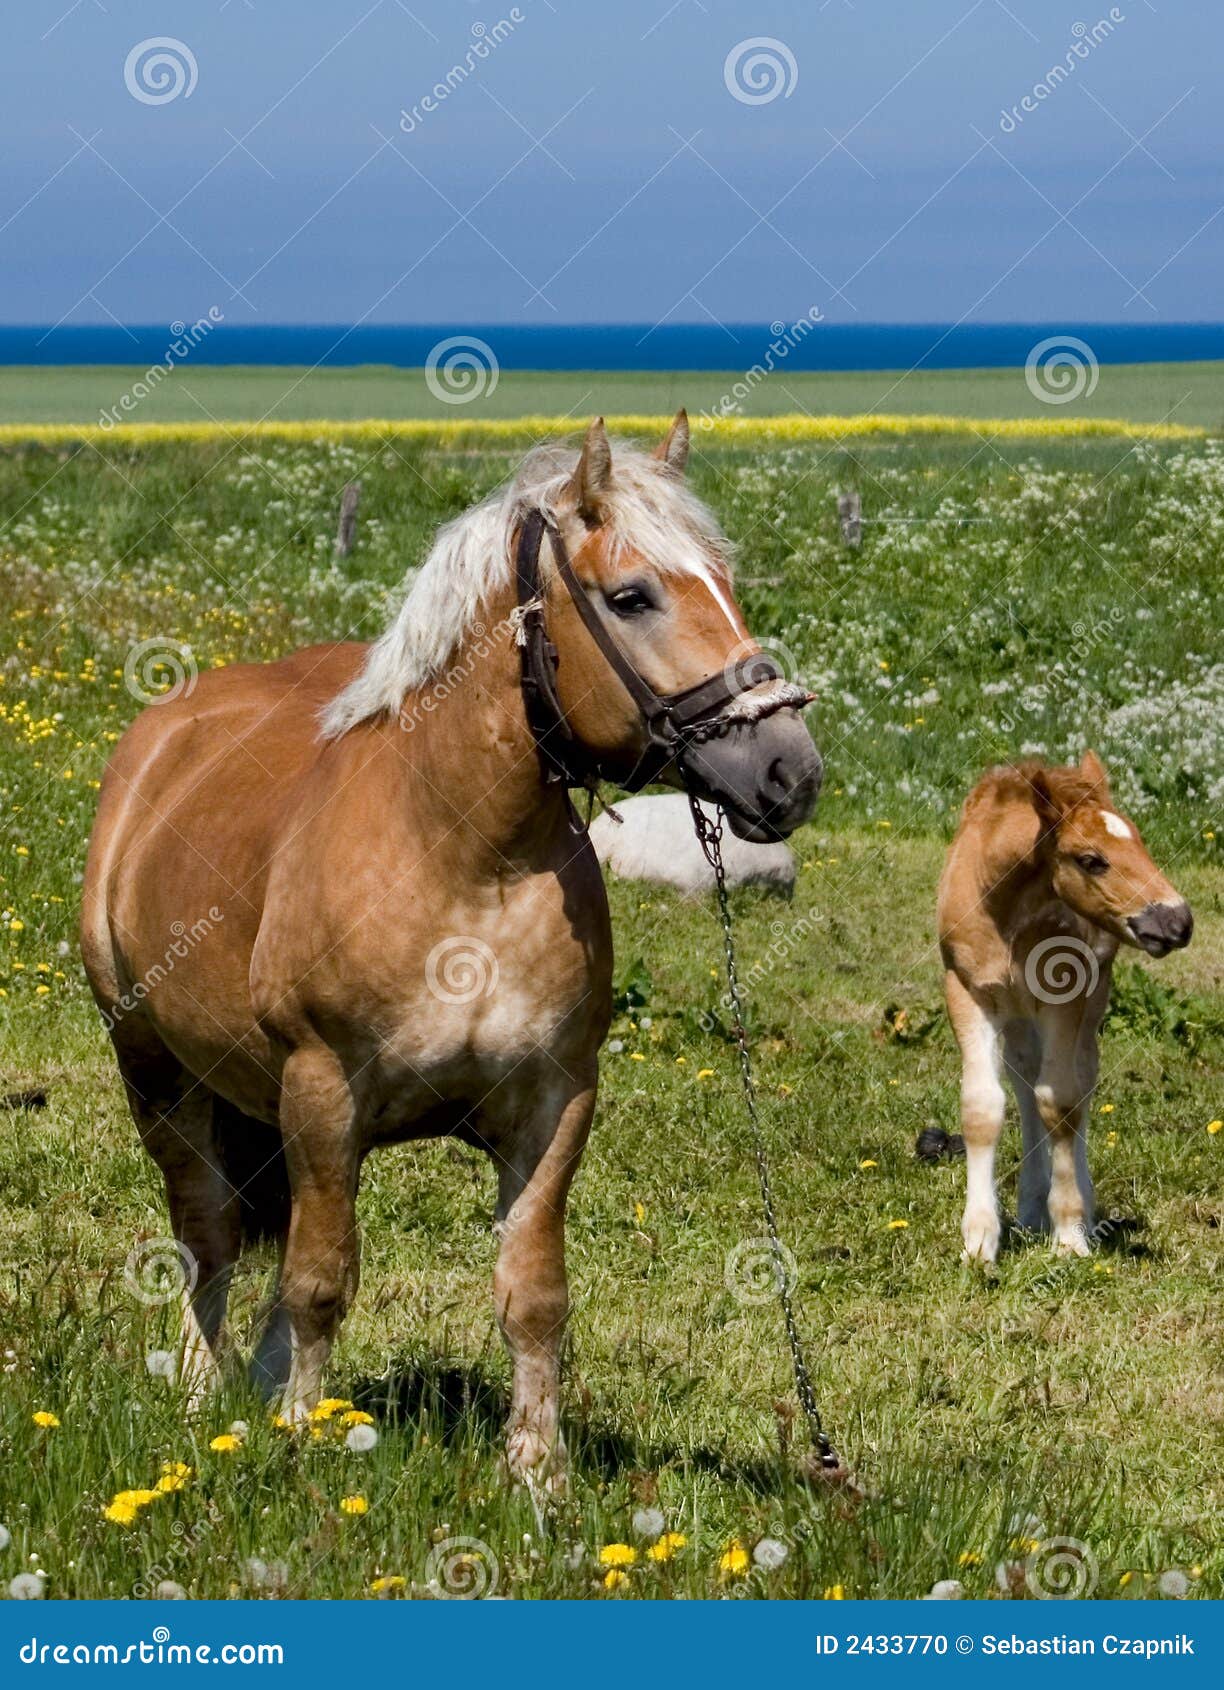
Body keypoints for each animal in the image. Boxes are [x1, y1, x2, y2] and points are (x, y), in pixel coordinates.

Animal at [81, 413, 823, 1484]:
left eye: (727, 580)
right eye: (631, 596)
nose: (788, 771)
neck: (466, 860)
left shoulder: (555, 1104)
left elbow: (533, 1295)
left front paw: (539, 1474)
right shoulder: (321, 1091)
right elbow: (317, 1279)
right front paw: (301, 1440)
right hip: (157, 1072)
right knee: (209, 1231)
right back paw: (196, 1395)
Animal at [937, 751, 1192, 1263]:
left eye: (1141, 841)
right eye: (1091, 861)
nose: (1178, 921)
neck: (1003, 907)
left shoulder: (1067, 995)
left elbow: (1061, 1101)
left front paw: (1071, 1232)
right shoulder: (966, 989)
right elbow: (982, 1106)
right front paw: (979, 1239)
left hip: (1092, 997)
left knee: (1081, 1079)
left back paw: (1076, 1209)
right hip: (1017, 1011)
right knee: (1024, 1077)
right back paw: (1031, 1208)